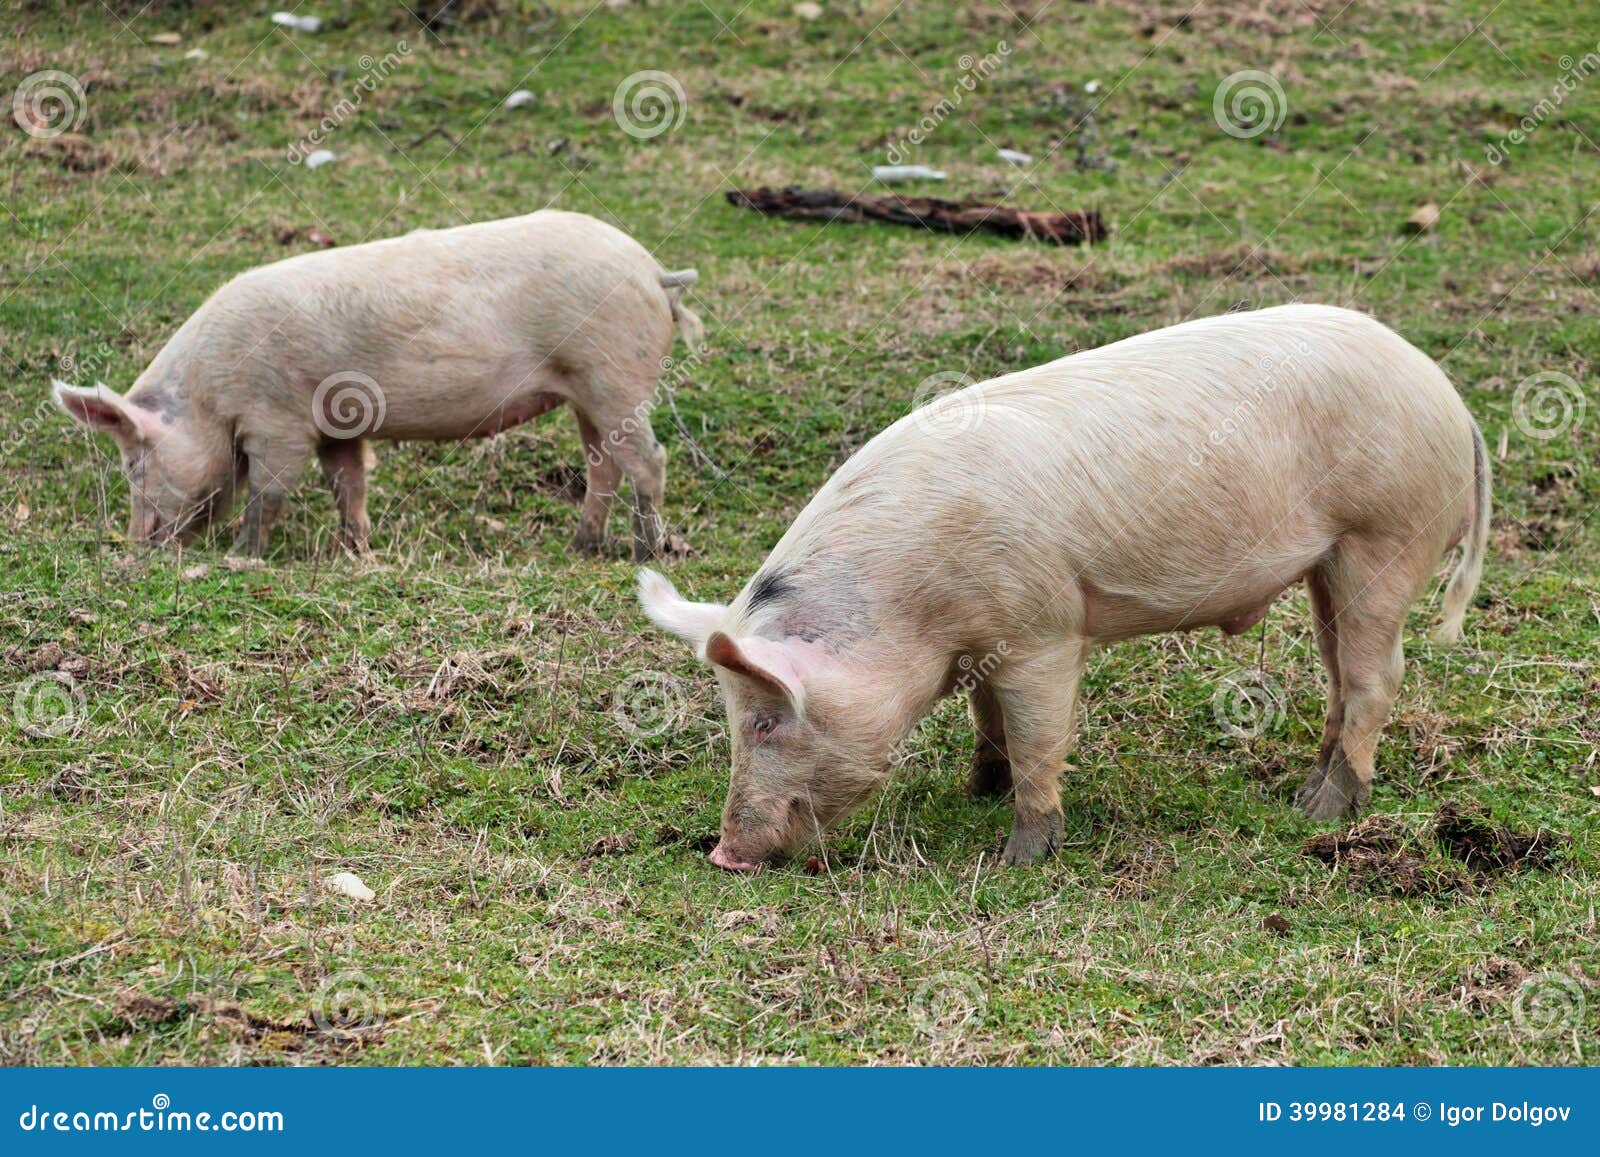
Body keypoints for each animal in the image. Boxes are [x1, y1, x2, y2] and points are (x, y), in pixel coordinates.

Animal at [53, 210, 702, 560]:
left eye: (132, 464)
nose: (135, 543)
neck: (206, 396)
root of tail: (653, 270)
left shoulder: (277, 419)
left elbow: (270, 489)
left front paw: (242, 557)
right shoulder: (336, 427)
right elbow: (349, 482)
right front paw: (359, 551)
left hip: (613, 373)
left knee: (649, 459)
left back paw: (644, 552)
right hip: (586, 390)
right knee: (603, 464)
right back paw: (581, 546)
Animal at [640, 304, 1490, 869]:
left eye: (763, 722)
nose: (723, 852)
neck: (909, 606)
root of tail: (1449, 396)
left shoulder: (1041, 628)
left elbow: (1037, 734)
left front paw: (1020, 854)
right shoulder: (981, 640)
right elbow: (986, 716)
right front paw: (976, 788)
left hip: (1385, 535)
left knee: (1379, 674)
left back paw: (1322, 808)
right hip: (1328, 560)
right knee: (1339, 670)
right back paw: (1309, 783)